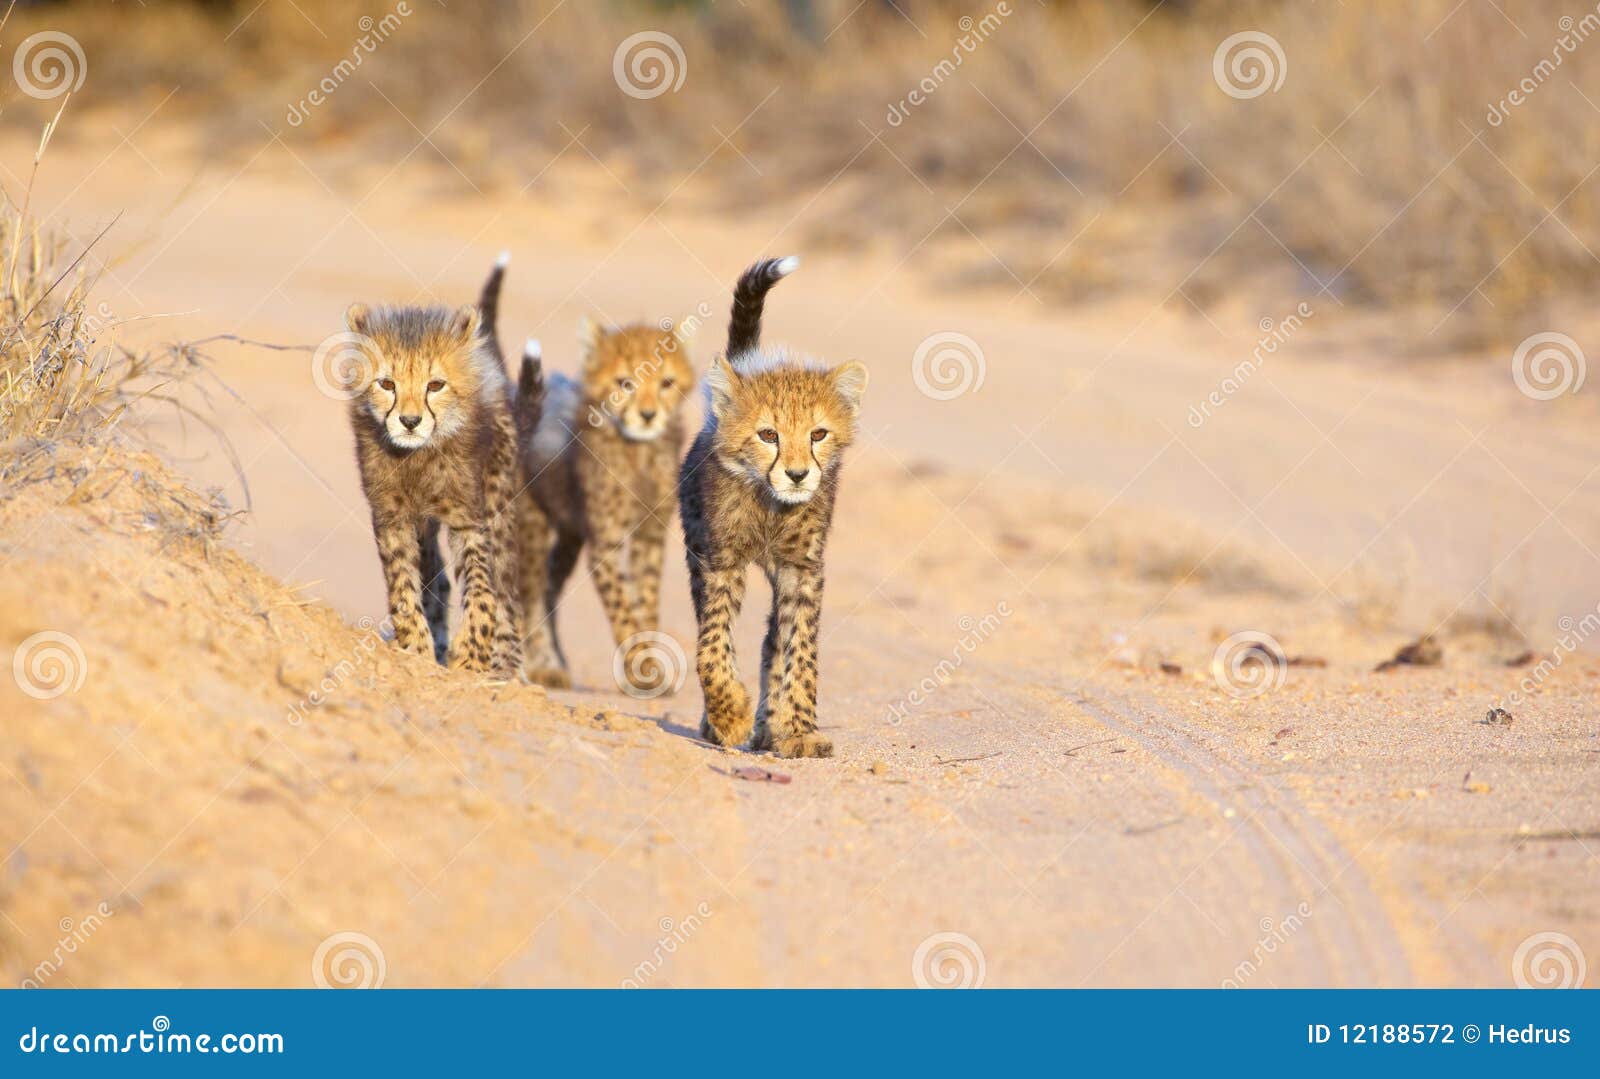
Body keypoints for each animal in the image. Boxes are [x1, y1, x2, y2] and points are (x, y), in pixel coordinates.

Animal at [344, 254, 535, 678]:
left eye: (435, 385)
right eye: (386, 384)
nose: (410, 421)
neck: (419, 457)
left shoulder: (469, 519)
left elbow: (483, 589)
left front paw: (473, 655)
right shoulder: (392, 516)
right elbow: (402, 584)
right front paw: (416, 645)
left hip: (500, 502)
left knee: (507, 590)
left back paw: (508, 666)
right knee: (439, 577)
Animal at [514, 316, 696, 691]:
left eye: (666, 383)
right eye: (624, 383)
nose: (647, 415)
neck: (639, 451)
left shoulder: (650, 534)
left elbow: (645, 601)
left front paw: (649, 662)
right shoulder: (605, 543)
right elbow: (622, 607)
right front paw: (640, 668)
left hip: (569, 536)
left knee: (550, 587)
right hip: (532, 526)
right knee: (532, 595)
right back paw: (543, 666)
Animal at [677, 256, 868, 759]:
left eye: (818, 434)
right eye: (768, 435)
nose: (798, 475)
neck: (770, 505)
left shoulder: (801, 570)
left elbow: (798, 649)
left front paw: (797, 729)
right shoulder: (720, 561)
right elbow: (711, 643)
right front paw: (729, 715)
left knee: (770, 642)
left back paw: (769, 726)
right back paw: (725, 723)